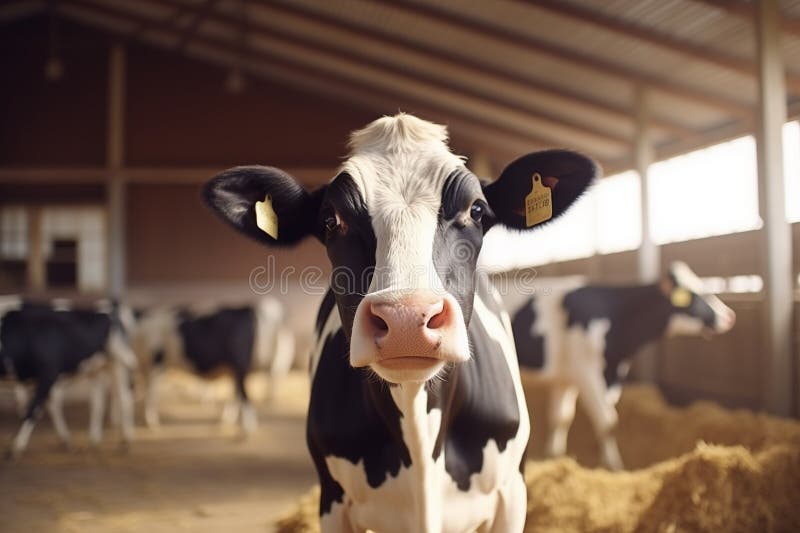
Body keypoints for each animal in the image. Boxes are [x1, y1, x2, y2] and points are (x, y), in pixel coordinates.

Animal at [0, 297, 137, 459]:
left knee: (124, 398)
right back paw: (94, 440)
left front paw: (15, 448)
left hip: (117, 365)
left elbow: (33, 410)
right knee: (98, 402)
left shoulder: (48, 373)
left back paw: (126, 440)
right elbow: (46, 406)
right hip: (97, 368)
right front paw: (65, 440)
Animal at [508, 261, 736, 470]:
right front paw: (614, 465)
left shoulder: (567, 377)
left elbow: (561, 418)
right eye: (694, 294)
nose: (729, 316)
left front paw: (553, 455)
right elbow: (608, 423)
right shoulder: (588, 374)